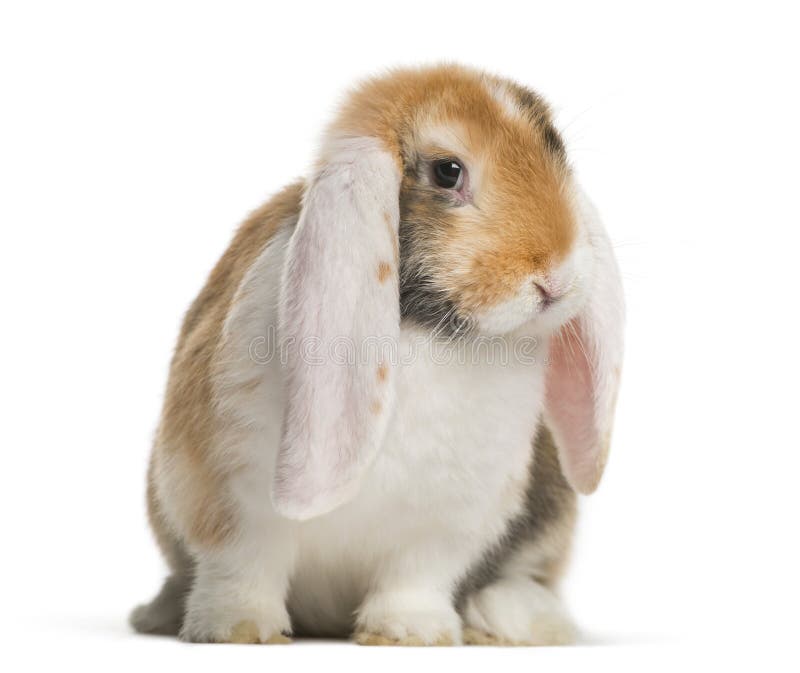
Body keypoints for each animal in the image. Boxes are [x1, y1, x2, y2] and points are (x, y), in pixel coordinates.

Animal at [129, 64, 624, 646]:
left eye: (556, 150)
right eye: (448, 172)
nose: (556, 278)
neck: (432, 331)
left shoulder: (447, 522)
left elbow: (415, 578)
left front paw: (411, 633)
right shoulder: (230, 490)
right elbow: (242, 566)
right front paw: (236, 628)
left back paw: (515, 617)